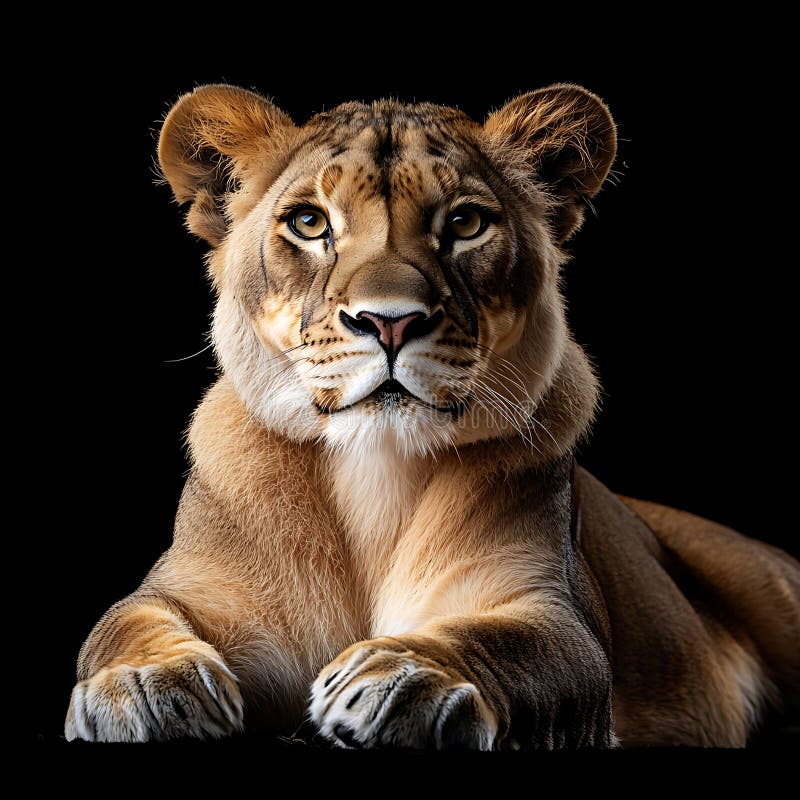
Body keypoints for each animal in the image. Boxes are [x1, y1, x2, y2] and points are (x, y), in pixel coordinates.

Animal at [65, 84, 799, 748]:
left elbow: (511, 646)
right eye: (310, 223)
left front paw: (403, 677)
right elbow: (121, 622)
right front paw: (140, 686)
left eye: (466, 224)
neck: (374, 469)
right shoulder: (193, 590)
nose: (389, 322)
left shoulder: (554, 611)